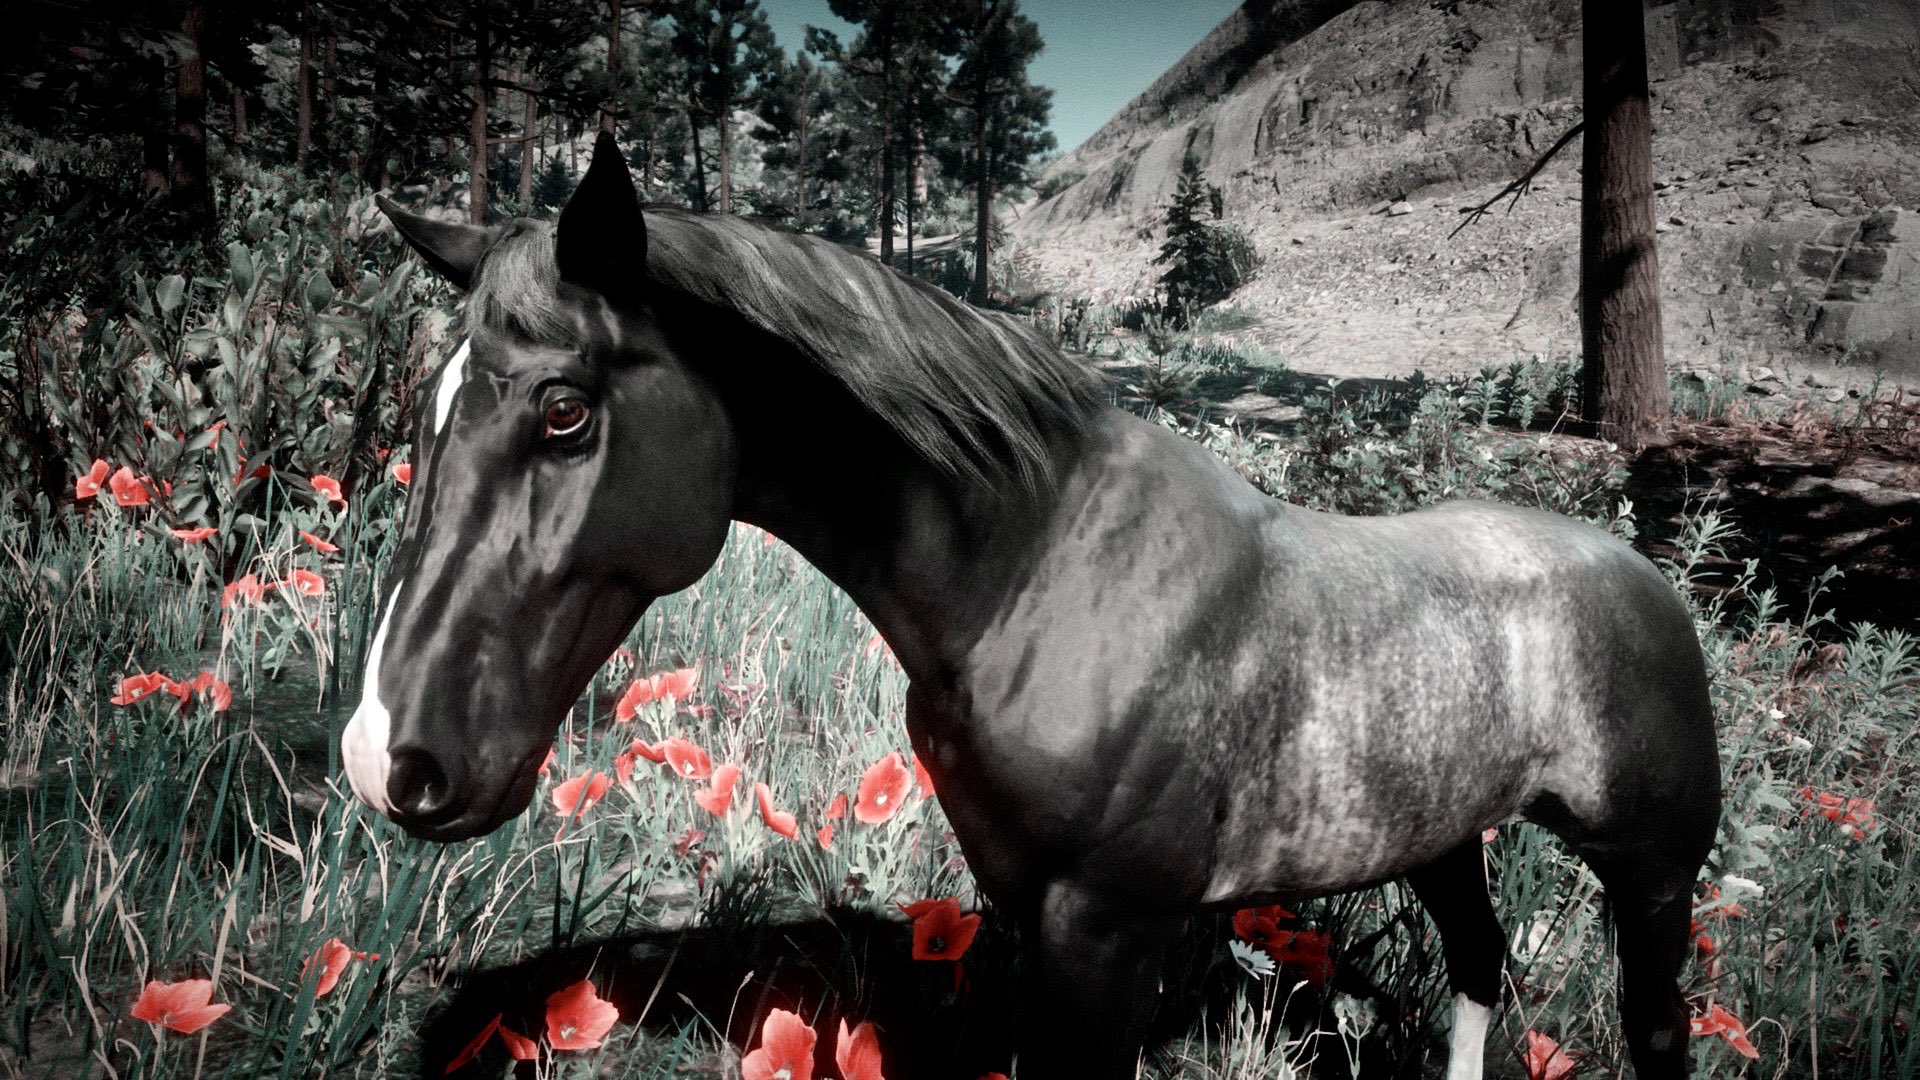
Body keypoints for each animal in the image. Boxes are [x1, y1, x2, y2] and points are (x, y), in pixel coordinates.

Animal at [343, 133, 1721, 1079]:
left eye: (564, 410)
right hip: (1444, 840)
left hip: (1651, 879)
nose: (385, 754)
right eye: (427, 405)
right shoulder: (1028, 915)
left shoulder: (1106, 933)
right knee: (1480, 972)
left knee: (1655, 1027)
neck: (1039, 571)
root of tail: (1642, 575)